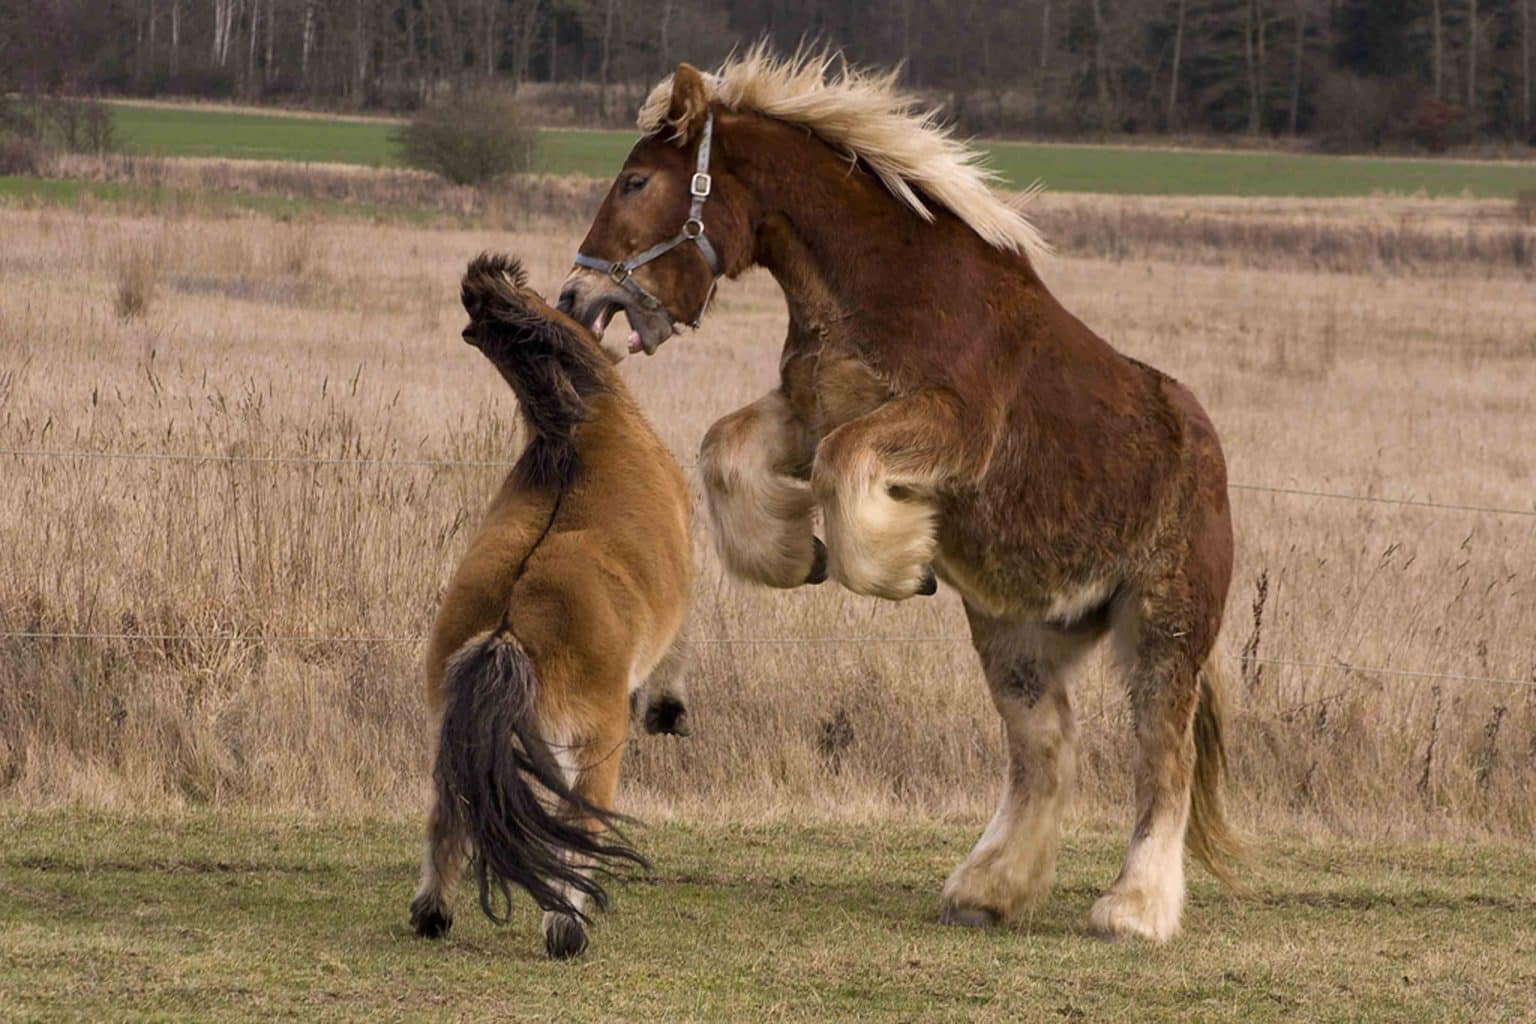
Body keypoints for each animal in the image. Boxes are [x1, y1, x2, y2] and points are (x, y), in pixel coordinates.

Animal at [409, 253, 692, 959]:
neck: (583, 431)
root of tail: (507, 632)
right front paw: (669, 713)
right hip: (591, 751)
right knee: (579, 832)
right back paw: (567, 929)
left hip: (454, 739)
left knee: (446, 816)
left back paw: (432, 914)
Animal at [556, 49, 1240, 943]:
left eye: (637, 181)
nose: (577, 299)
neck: (887, 284)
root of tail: (1210, 457)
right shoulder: (808, 410)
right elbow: (725, 450)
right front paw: (796, 554)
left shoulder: (946, 430)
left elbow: (842, 466)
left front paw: (898, 560)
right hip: (1015, 634)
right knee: (1046, 746)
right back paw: (987, 890)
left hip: (1165, 627)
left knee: (1163, 751)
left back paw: (1133, 909)